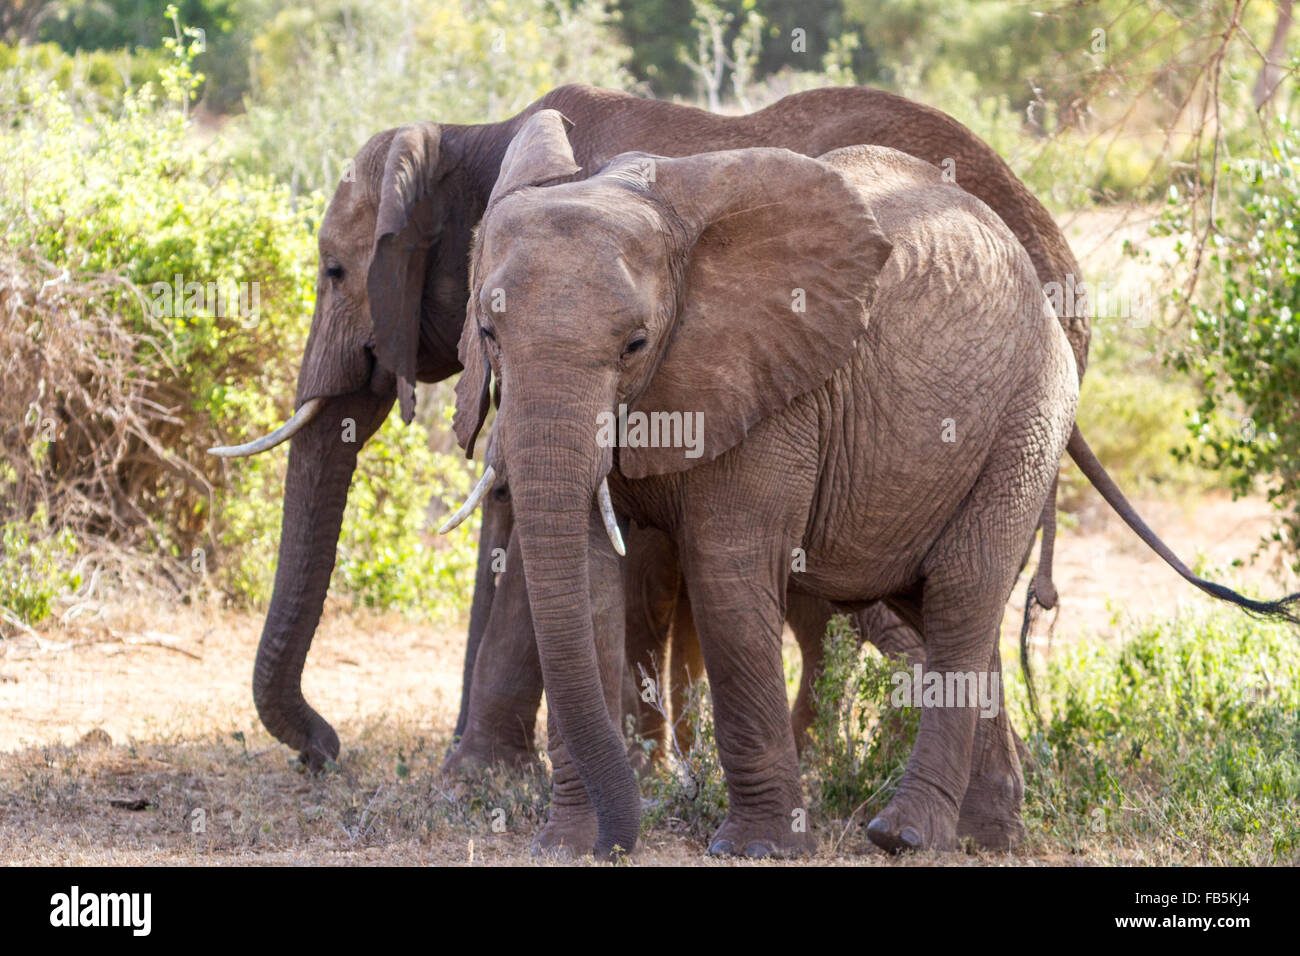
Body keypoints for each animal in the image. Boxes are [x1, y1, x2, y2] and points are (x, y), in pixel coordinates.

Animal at [451, 109, 1300, 860]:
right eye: (487, 333)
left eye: (635, 343)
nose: (623, 839)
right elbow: (589, 585)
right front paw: (565, 847)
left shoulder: (777, 393)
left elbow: (728, 574)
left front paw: (757, 848)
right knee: (945, 612)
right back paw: (985, 837)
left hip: (1029, 412)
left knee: (961, 595)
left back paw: (907, 837)